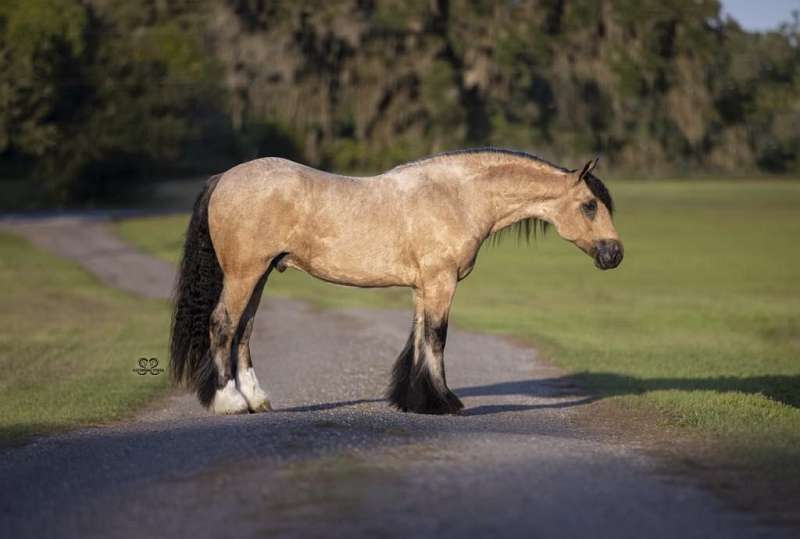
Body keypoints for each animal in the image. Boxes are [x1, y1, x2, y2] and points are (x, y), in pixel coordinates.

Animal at [169, 148, 623, 415]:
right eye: (589, 206)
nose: (614, 254)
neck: (456, 196)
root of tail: (224, 178)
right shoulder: (441, 284)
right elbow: (437, 339)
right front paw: (445, 402)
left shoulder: (424, 286)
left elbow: (420, 338)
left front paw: (415, 400)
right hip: (244, 274)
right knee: (223, 324)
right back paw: (229, 401)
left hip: (259, 275)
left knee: (243, 330)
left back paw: (256, 399)